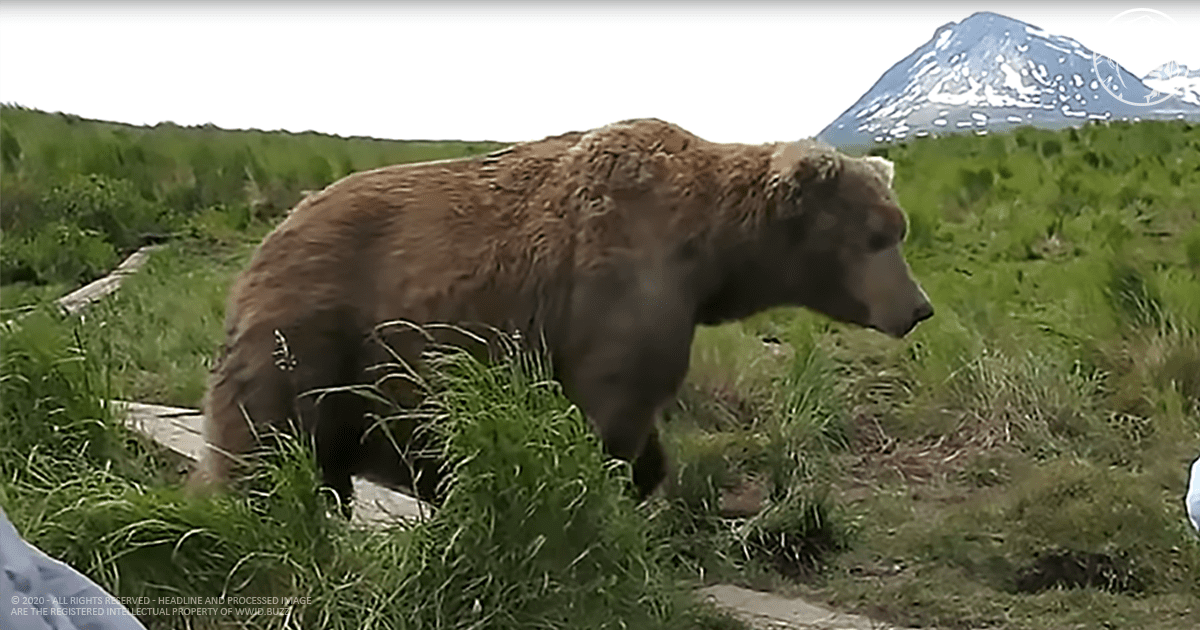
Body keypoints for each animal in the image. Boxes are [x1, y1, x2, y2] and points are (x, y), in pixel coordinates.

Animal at [188, 118, 934, 511]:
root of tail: (269, 236)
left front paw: (644, 480)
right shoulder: (617, 294)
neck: (712, 255)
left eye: (899, 229)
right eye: (878, 236)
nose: (919, 307)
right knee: (265, 449)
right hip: (311, 336)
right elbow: (608, 414)